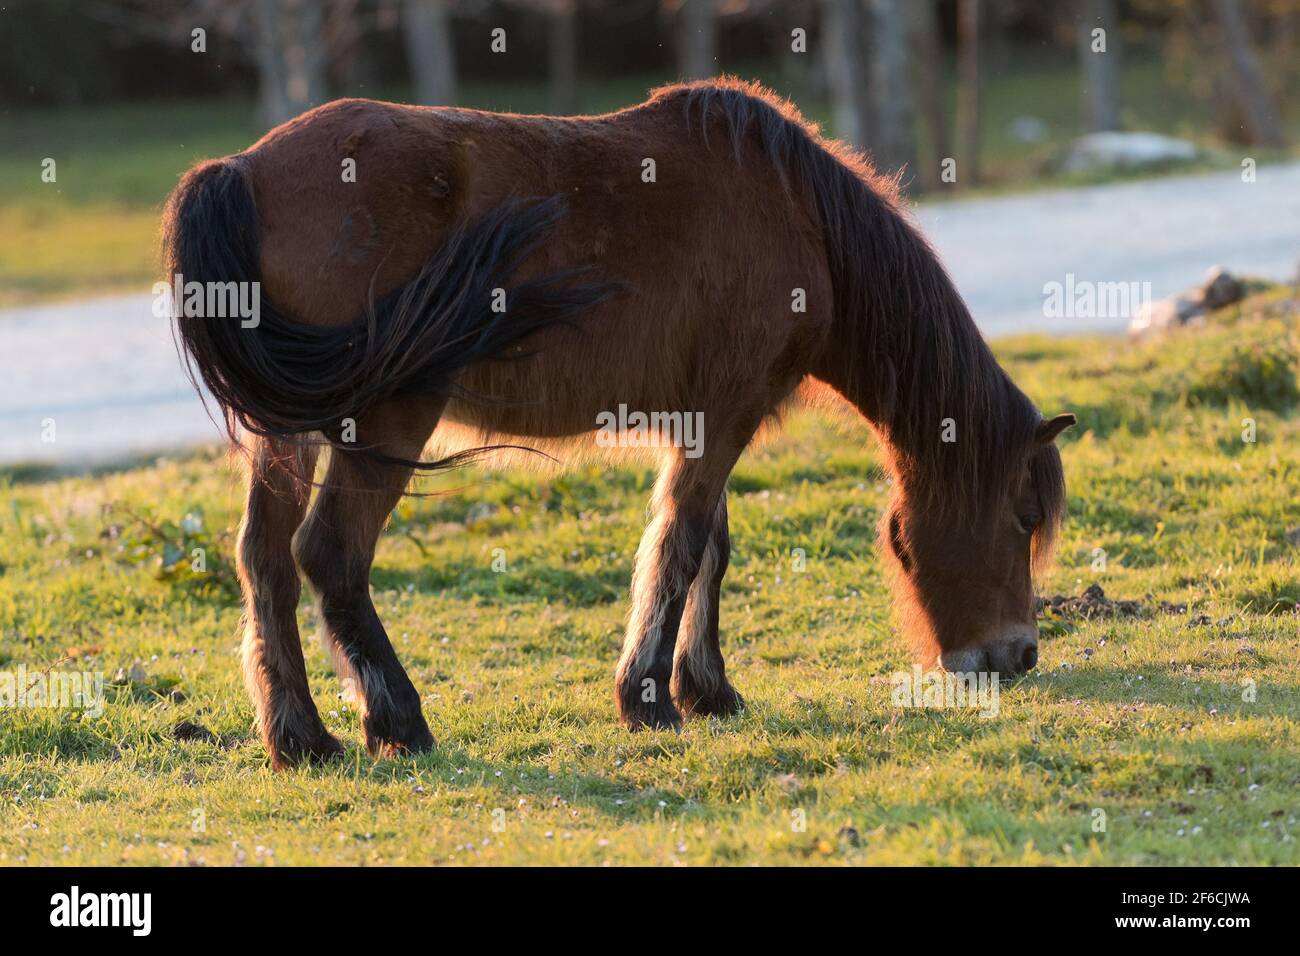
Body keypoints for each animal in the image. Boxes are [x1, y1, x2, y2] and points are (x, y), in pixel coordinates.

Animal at [163, 78, 1074, 769]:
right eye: (1021, 516)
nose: (1021, 655)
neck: (799, 216)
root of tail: (241, 171)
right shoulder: (725, 417)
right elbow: (682, 546)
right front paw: (650, 699)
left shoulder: (706, 419)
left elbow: (709, 550)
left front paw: (705, 688)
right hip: (387, 420)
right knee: (330, 555)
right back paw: (399, 722)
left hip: (289, 431)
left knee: (265, 561)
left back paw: (301, 739)